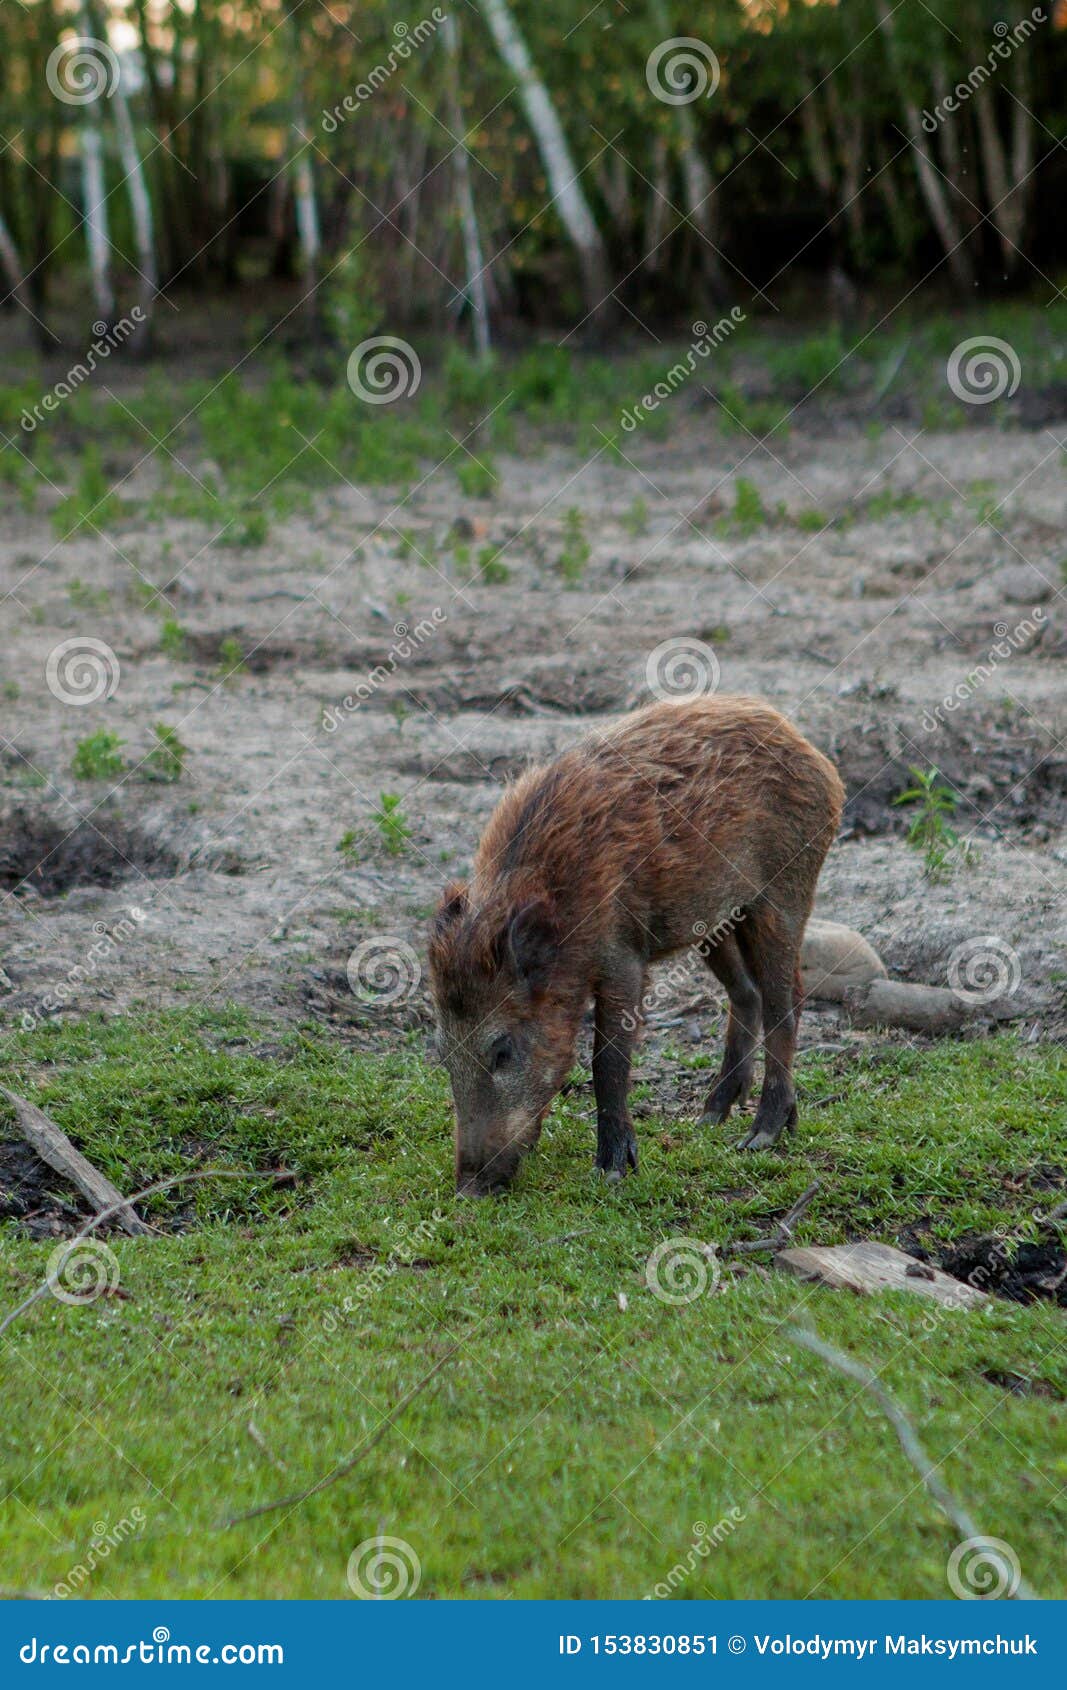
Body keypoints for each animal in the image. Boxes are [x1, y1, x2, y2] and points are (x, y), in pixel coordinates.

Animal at [428, 696, 844, 1196]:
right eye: (444, 1054)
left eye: (502, 1049)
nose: (468, 1189)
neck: (563, 899)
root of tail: (813, 752)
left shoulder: (623, 956)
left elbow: (606, 1059)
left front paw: (611, 1171)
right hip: (716, 919)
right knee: (746, 993)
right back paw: (709, 1118)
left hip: (785, 893)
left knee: (787, 1001)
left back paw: (759, 1136)